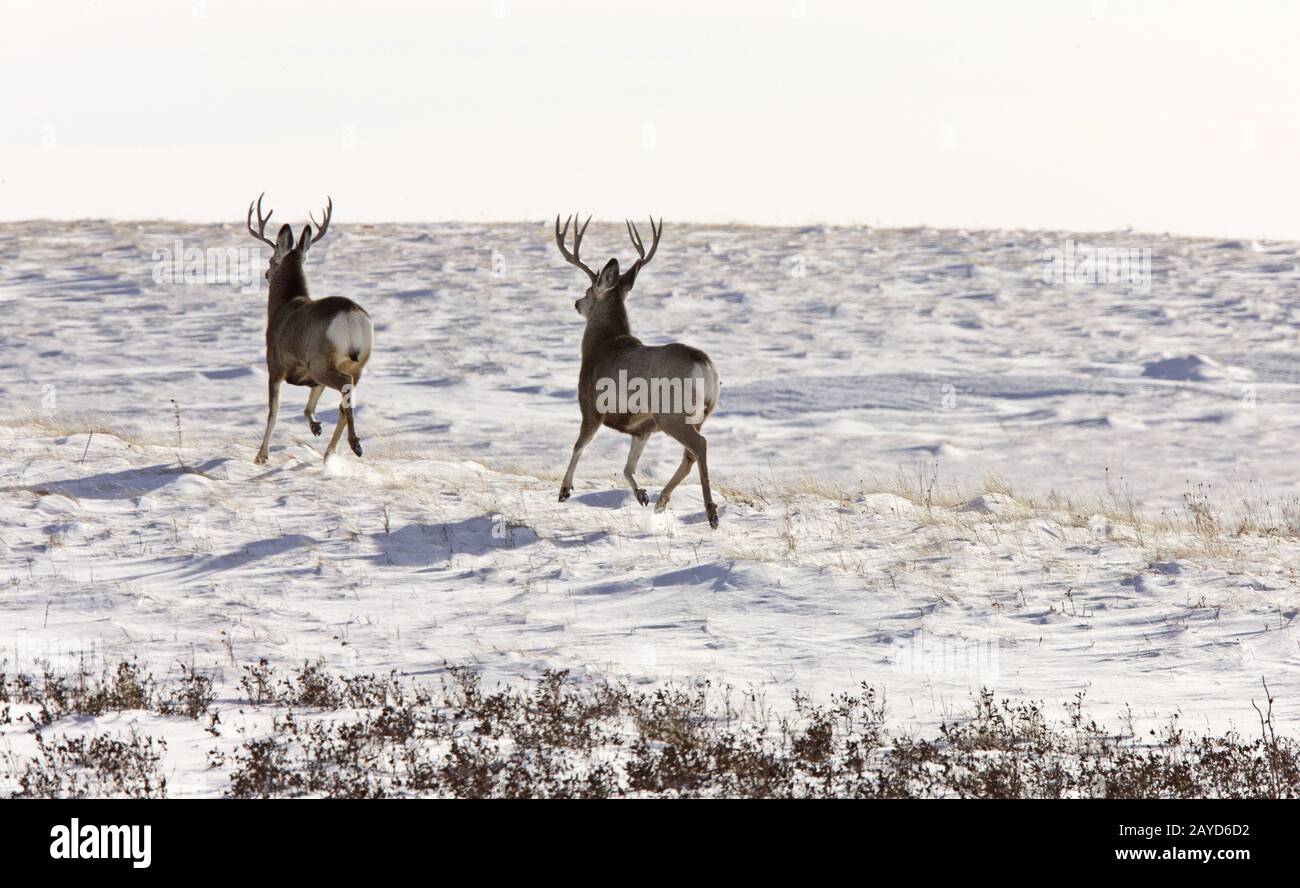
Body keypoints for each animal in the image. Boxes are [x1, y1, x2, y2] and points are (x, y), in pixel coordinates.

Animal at [246, 194, 373, 465]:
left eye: (272, 260)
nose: (267, 273)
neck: (284, 306)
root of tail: (351, 315)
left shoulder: (275, 366)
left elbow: (273, 412)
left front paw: (261, 456)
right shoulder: (311, 379)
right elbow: (308, 407)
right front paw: (315, 426)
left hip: (321, 362)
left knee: (345, 391)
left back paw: (354, 445)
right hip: (356, 364)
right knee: (344, 405)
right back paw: (331, 453)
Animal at [554, 214, 722, 529]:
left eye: (588, 291)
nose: (576, 303)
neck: (601, 346)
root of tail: (704, 366)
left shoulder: (591, 406)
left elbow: (578, 445)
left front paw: (564, 490)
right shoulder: (642, 427)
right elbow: (628, 466)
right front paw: (642, 494)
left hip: (671, 413)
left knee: (699, 446)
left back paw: (711, 512)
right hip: (700, 414)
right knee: (689, 455)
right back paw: (661, 501)